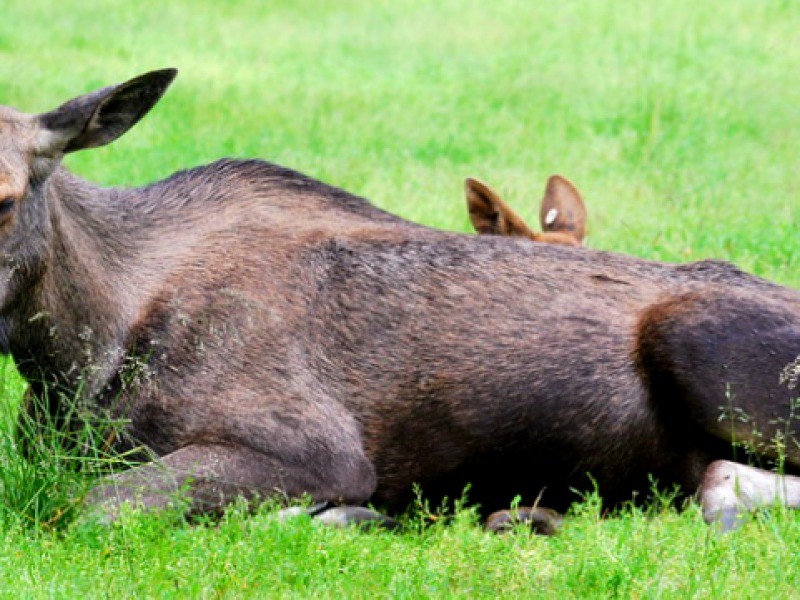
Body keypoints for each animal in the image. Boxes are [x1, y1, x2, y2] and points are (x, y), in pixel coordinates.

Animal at [2, 69, 800, 535]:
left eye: (7, 196)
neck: (79, 361)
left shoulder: (316, 447)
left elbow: (91, 509)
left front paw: (337, 516)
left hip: (698, 343)